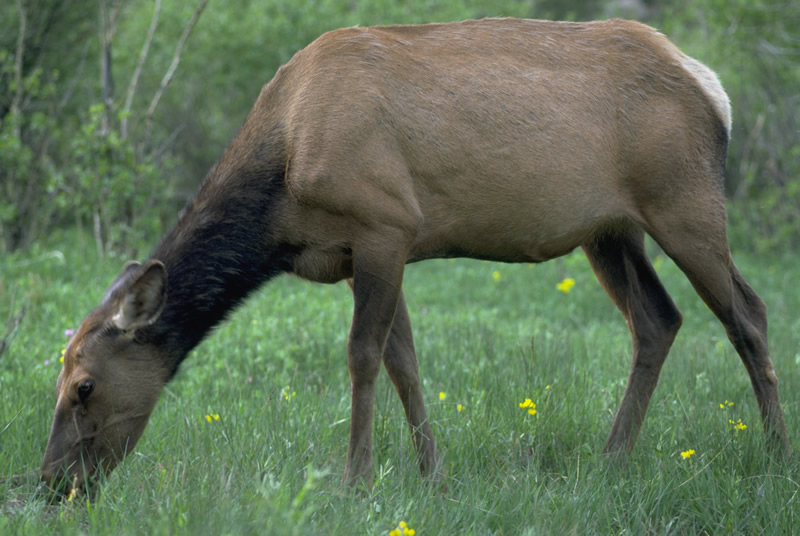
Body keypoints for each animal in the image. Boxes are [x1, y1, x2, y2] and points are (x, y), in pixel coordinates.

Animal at [41, 17, 791, 496]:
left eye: (84, 385)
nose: (52, 484)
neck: (281, 188)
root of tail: (713, 88)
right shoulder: (362, 251)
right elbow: (404, 360)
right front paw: (434, 475)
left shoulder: (384, 223)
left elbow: (362, 355)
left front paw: (356, 480)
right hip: (609, 229)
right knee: (658, 320)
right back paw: (610, 461)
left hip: (685, 201)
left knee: (748, 314)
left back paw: (777, 459)